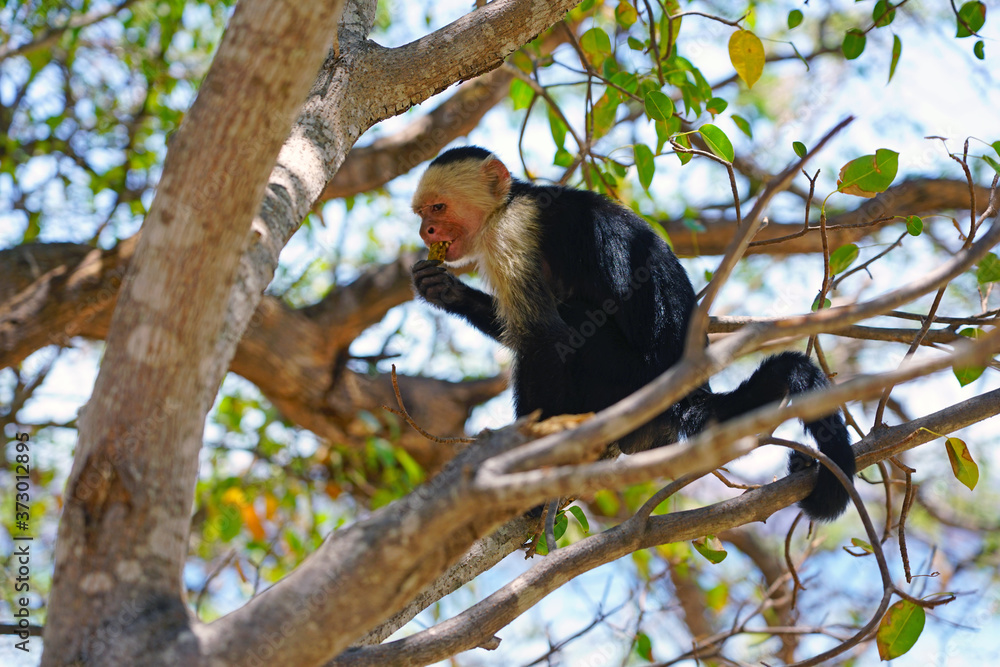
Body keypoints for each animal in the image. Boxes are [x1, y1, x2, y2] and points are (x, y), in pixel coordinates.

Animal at [410, 146, 855, 521]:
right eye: (421, 214)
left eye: (439, 207)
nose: (426, 232)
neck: (507, 204)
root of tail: (690, 397)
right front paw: (445, 291)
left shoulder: (511, 232)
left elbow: (543, 338)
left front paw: (527, 468)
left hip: (629, 383)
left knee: (573, 321)